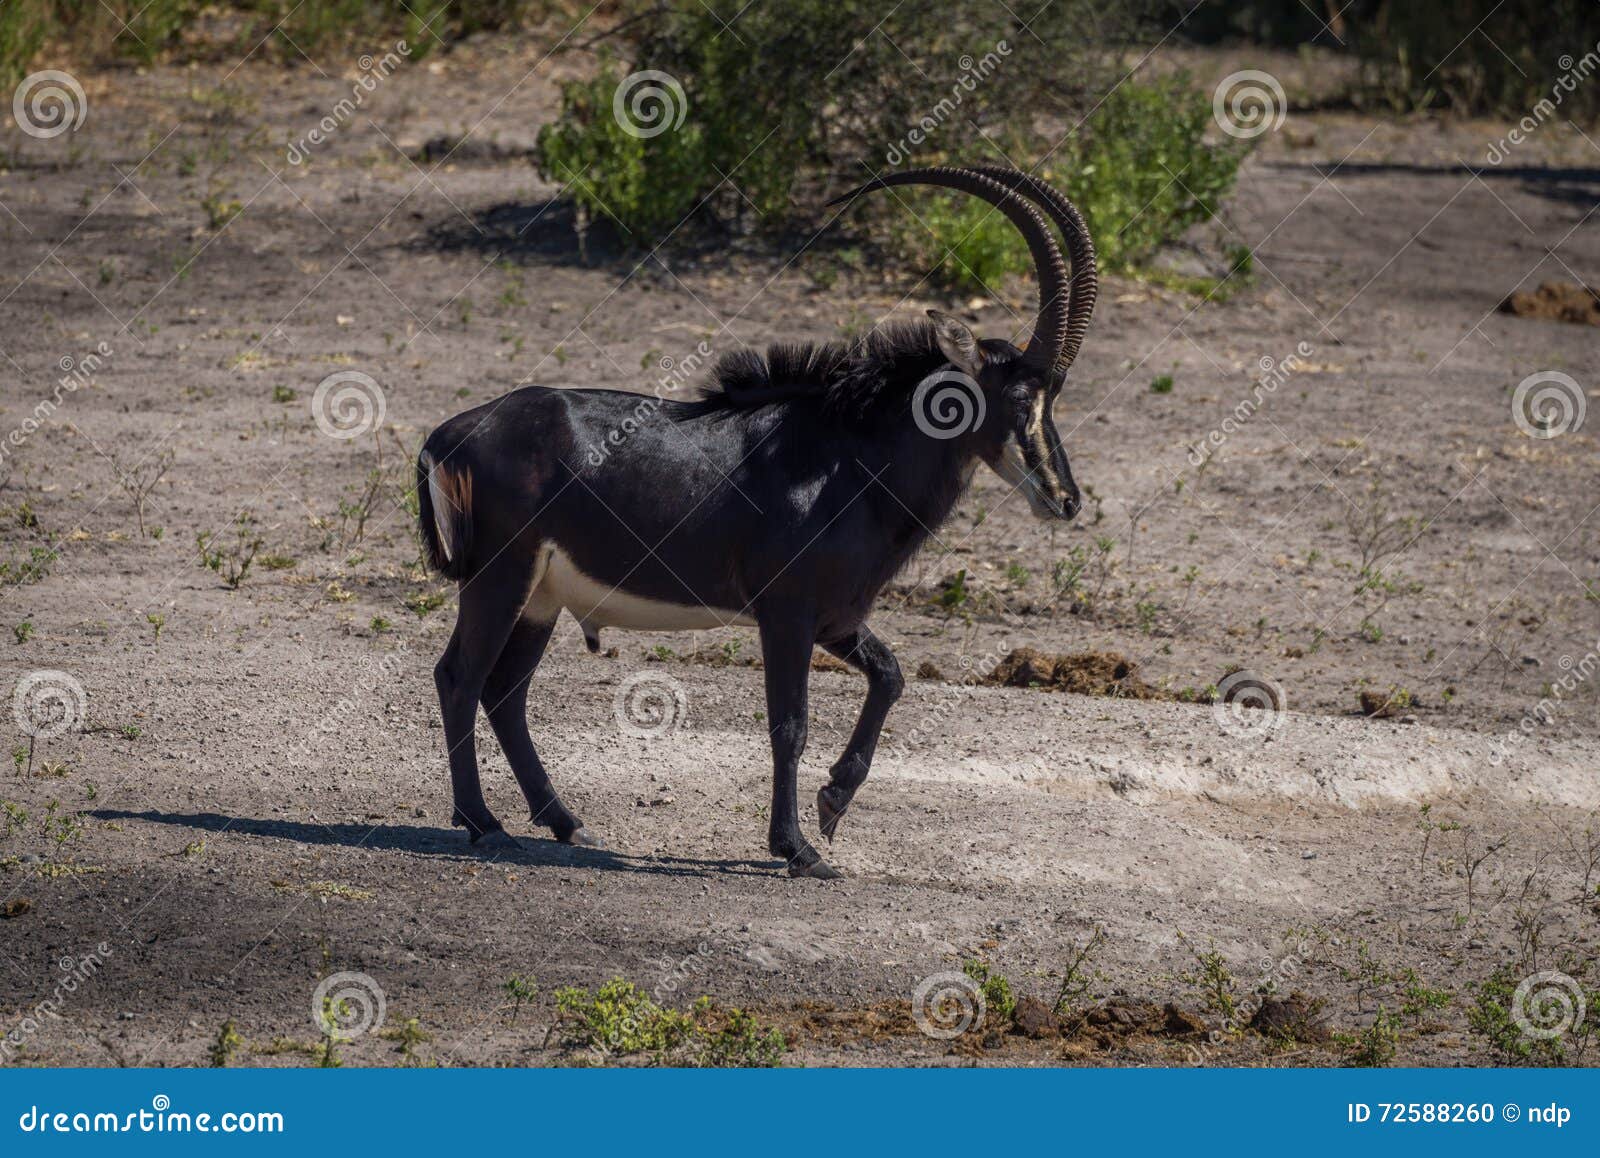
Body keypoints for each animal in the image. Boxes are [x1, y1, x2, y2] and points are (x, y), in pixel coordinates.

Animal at [416, 165, 1097, 878]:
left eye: (1054, 396)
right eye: (1018, 395)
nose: (1066, 499)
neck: (846, 454)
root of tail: (447, 436)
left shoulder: (836, 618)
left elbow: (890, 675)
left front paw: (832, 804)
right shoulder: (786, 614)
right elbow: (789, 724)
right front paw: (797, 848)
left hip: (541, 597)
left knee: (505, 692)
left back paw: (561, 820)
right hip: (500, 578)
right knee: (461, 677)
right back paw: (483, 823)